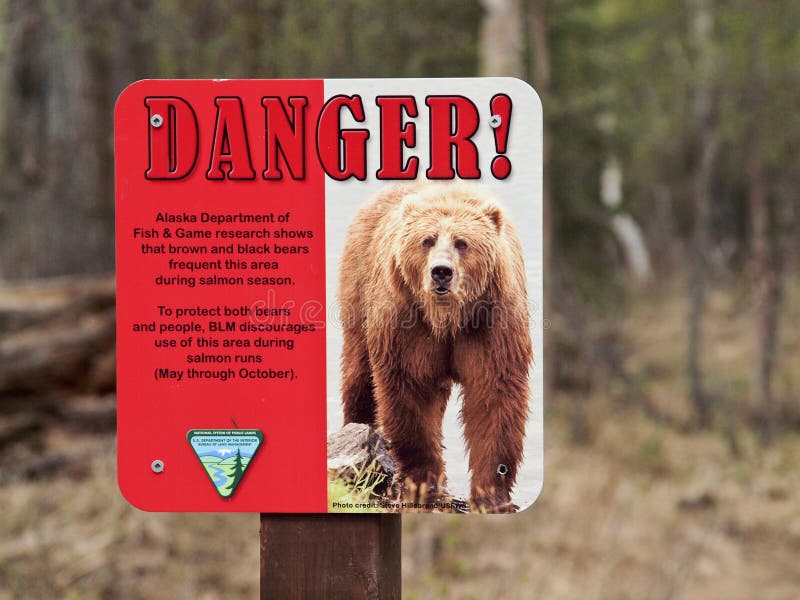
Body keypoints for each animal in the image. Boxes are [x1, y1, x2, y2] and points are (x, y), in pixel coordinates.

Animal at [338, 181, 532, 511]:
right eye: (427, 240)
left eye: (462, 243)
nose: (441, 271)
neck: (448, 318)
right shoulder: (407, 324)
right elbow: (410, 393)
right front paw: (423, 480)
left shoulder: (492, 325)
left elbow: (494, 397)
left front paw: (491, 492)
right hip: (359, 286)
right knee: (360, 374)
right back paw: (356, 427)